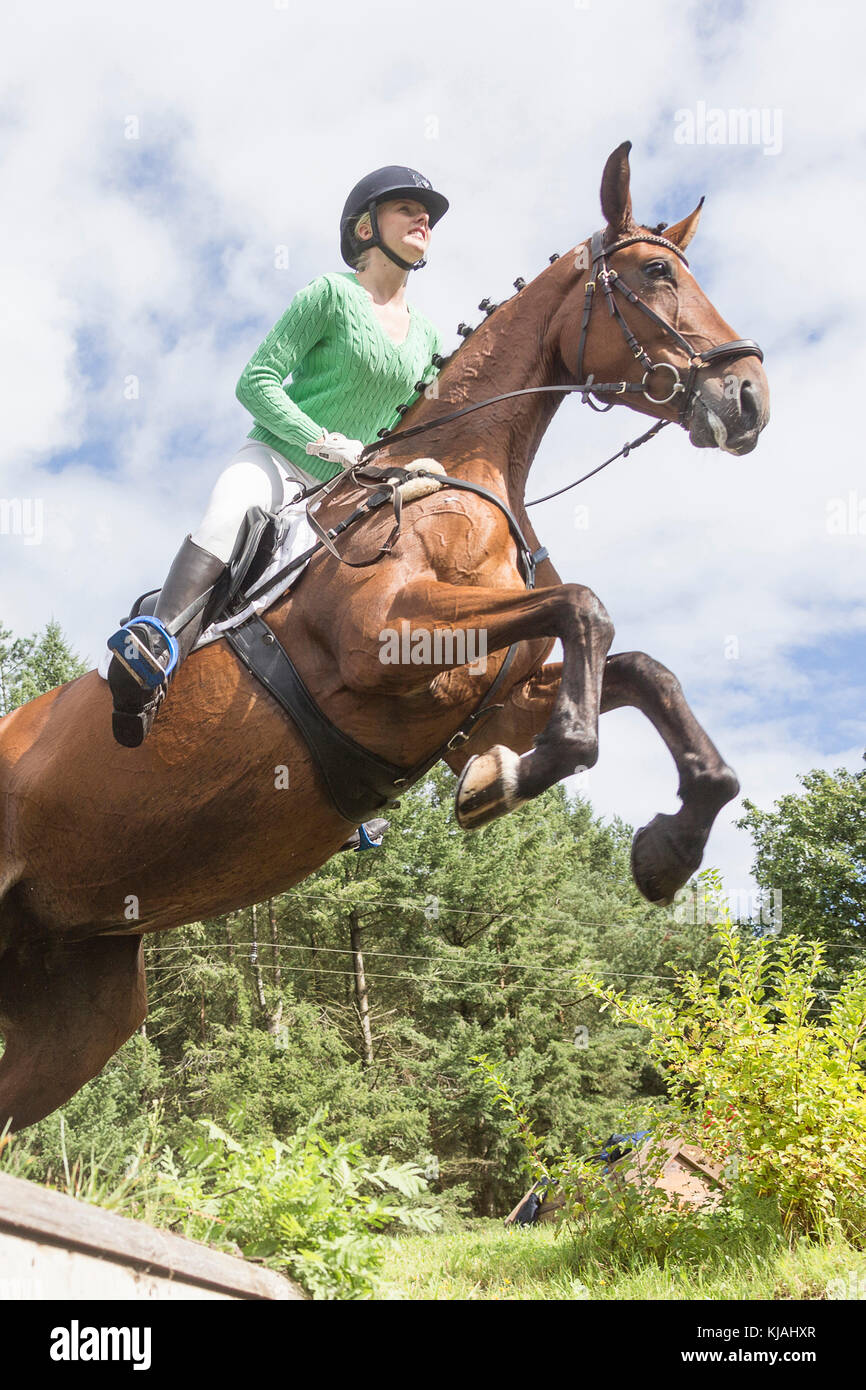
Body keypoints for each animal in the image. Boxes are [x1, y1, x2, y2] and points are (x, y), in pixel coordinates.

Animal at [0, 142, 769, 1130]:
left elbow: (639, 666)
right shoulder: (384, 641)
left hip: (76, 999)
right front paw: (512, 782)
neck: (470, 475)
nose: (749, 398)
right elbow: (588, 611)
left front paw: (667, 847)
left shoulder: (482, 699)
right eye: (654, 273)